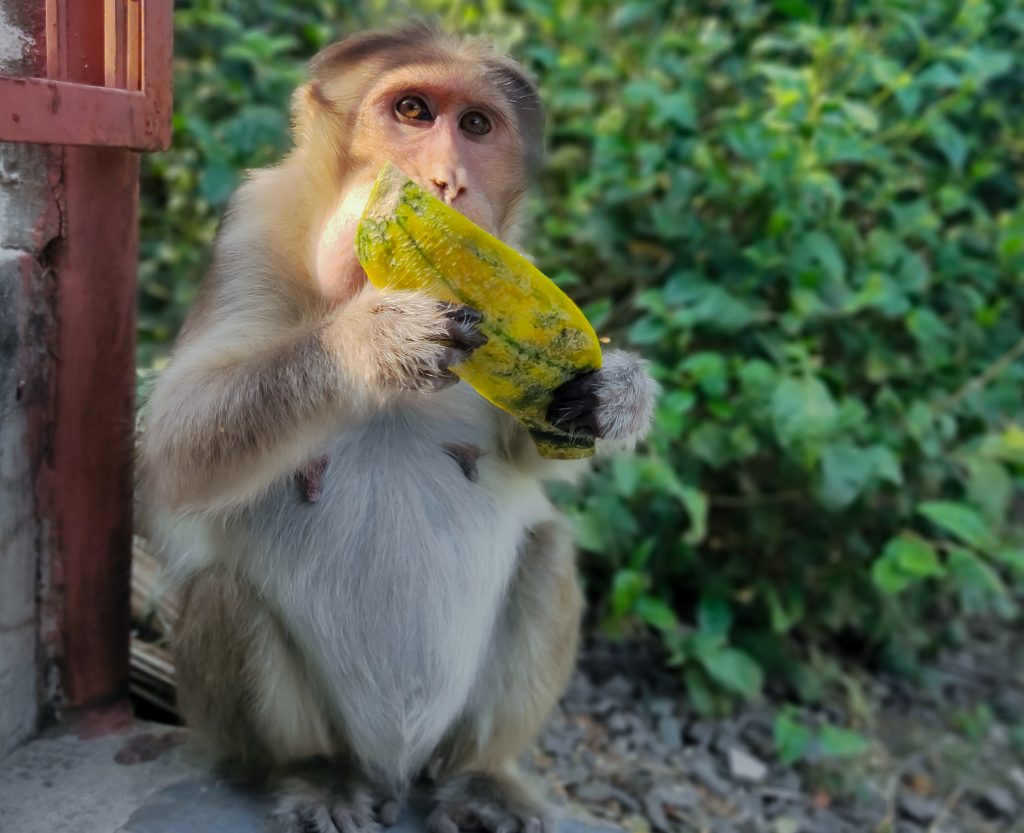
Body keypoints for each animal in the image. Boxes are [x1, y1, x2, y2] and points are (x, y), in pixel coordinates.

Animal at [140, 24, 657, 833]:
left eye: (475, 125)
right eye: (412, 110)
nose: (445, 182)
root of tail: (394, 765)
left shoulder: (515, 270)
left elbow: (529, 450)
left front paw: (615, 394)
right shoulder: (248, 231)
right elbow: (173, 447)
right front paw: (371, 343)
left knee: (547, 553)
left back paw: (481, 776)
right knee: (223, 590)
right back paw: (313, 772)